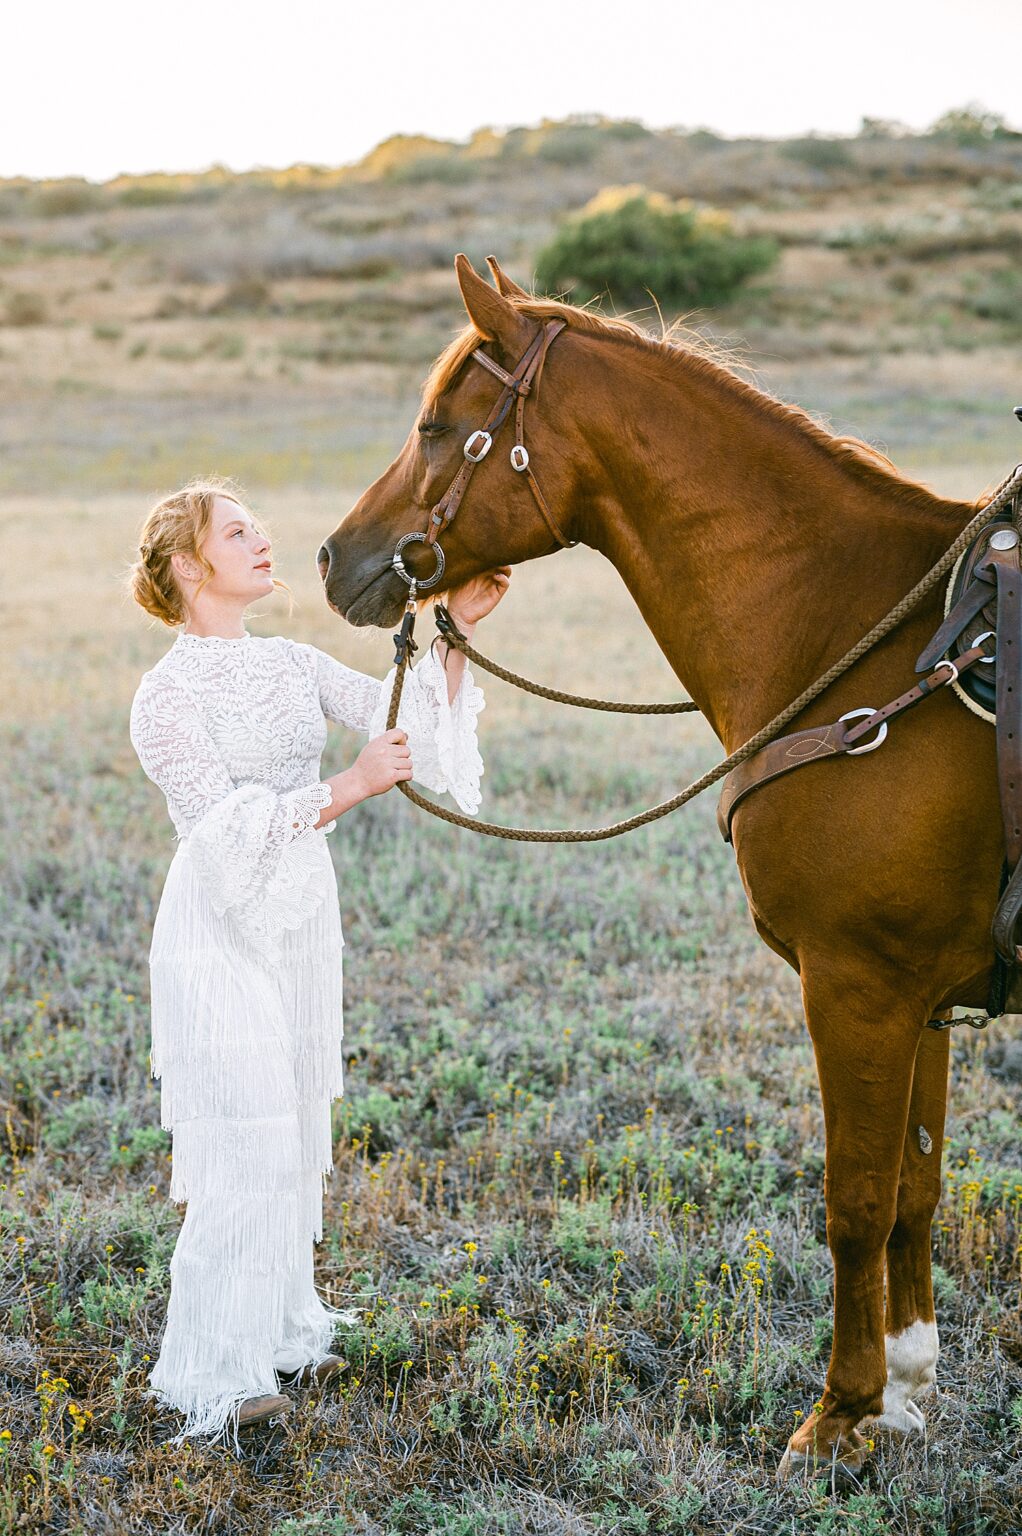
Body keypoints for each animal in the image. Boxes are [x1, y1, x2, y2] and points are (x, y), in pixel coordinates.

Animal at [316, 252, 1003, 1478]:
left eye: (437, 427)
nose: (334, 559)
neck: (862, 643)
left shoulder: (858, 987)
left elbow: (853, 1200)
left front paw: (838, 1415)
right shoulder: (918, 996)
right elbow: (915, 1188)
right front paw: (907, 1390)